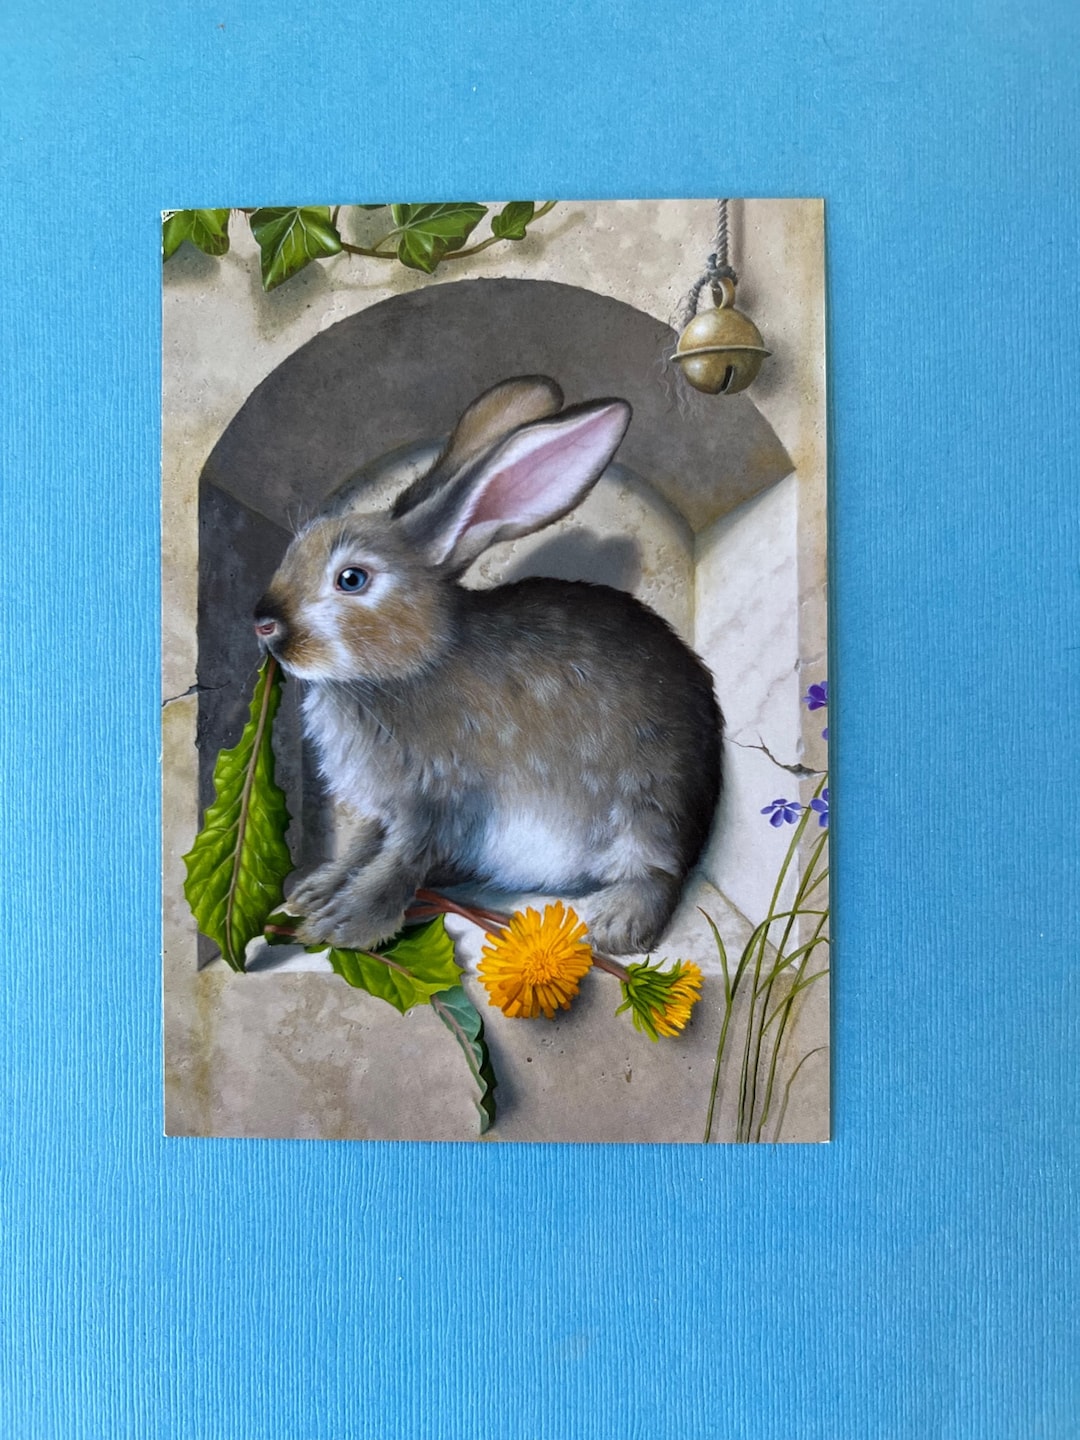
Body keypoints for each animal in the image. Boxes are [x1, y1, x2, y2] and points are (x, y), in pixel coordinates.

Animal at [253, 375, 722, 957]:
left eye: (352, 579)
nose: (263, 622)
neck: (412, 664)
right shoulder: (389, 810)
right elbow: (365, 846)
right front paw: (316, 893)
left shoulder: (439, 796)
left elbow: (397, 860)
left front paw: (344, 924)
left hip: (647, 808)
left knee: (660, 872)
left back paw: (618, 924)